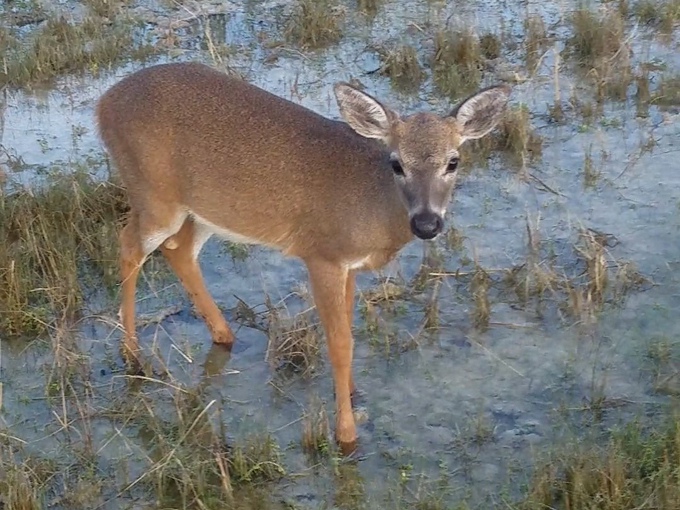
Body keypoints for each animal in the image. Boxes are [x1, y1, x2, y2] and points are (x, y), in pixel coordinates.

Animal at [96, 62, 510, 455]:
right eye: (397, 163)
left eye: (453, 161)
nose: (426, 223)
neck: (373, 205)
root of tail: (104, 103)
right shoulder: (321, 255)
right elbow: (339, 344)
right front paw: (346, 436)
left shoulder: (348, 263)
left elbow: (348, 328)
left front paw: (353, 393)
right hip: (153, 194)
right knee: (128, 247)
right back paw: (131, 355)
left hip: (202, 210)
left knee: (179, 251)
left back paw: (224, 335)